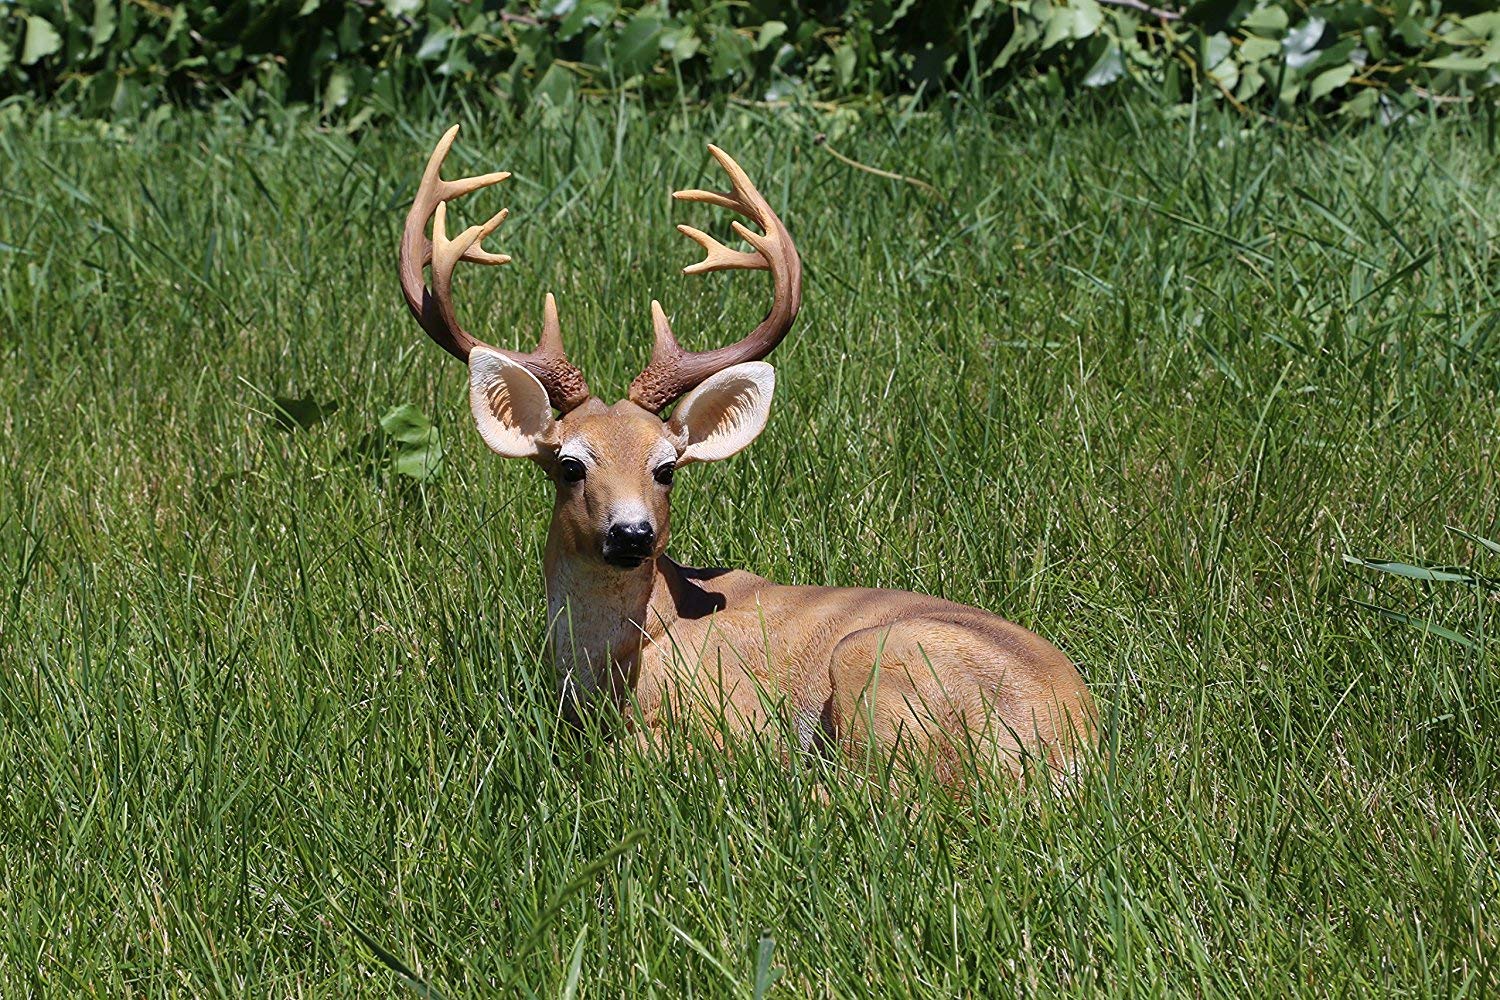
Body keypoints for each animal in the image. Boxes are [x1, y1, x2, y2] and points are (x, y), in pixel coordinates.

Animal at [398, 126, 1096, 787]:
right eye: (571, 465)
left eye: (666, 468)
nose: (632, 533)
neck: (612, 664)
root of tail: (1073, 743)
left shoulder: (723, 718)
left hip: (882, 664)